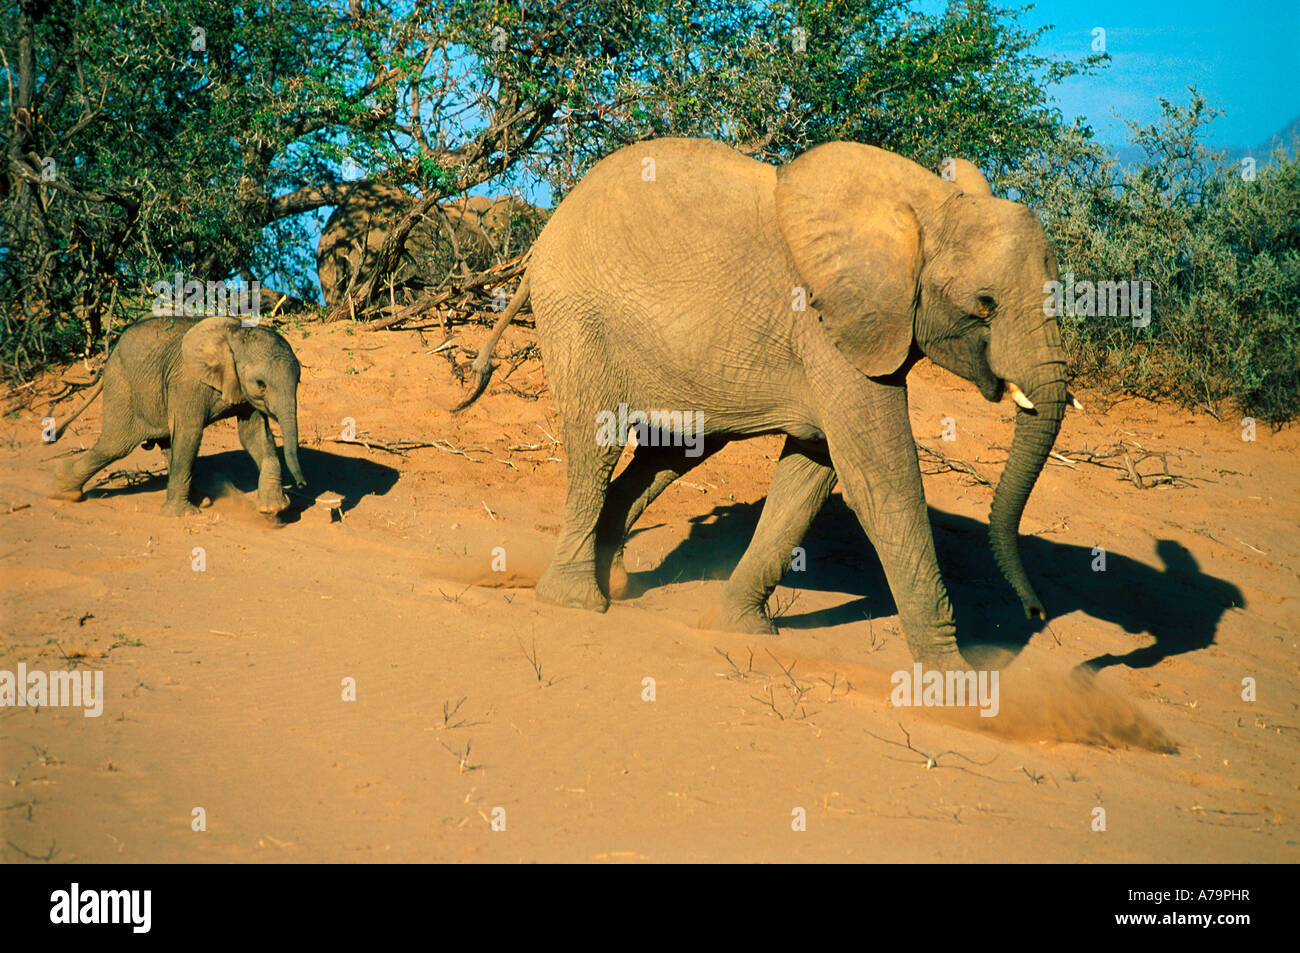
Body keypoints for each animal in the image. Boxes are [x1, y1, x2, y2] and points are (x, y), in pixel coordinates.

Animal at [50, 316, 305, 516]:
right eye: (261, 384)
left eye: (298, 381)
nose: (302, 485)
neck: (236, 334)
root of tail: (110, 354)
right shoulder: (187, 383)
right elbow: (189, 433)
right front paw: (182, 515)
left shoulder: (242, 390)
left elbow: (254, 434)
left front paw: (273, 509)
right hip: (122, 384)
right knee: (115, 445)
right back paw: (63, 492)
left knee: (160, 444)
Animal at [457, 137, 1074, 670]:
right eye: (984, 304)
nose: (1034, 611)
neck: (928, 208)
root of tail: (547, 229)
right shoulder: (828, 330)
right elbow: (880, 480)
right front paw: (957, 686)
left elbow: (812, 475)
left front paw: (741, 631)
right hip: (579, 317)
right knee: (597, 446)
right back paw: (577, 601)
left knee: (670, 456)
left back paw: (617, 584)